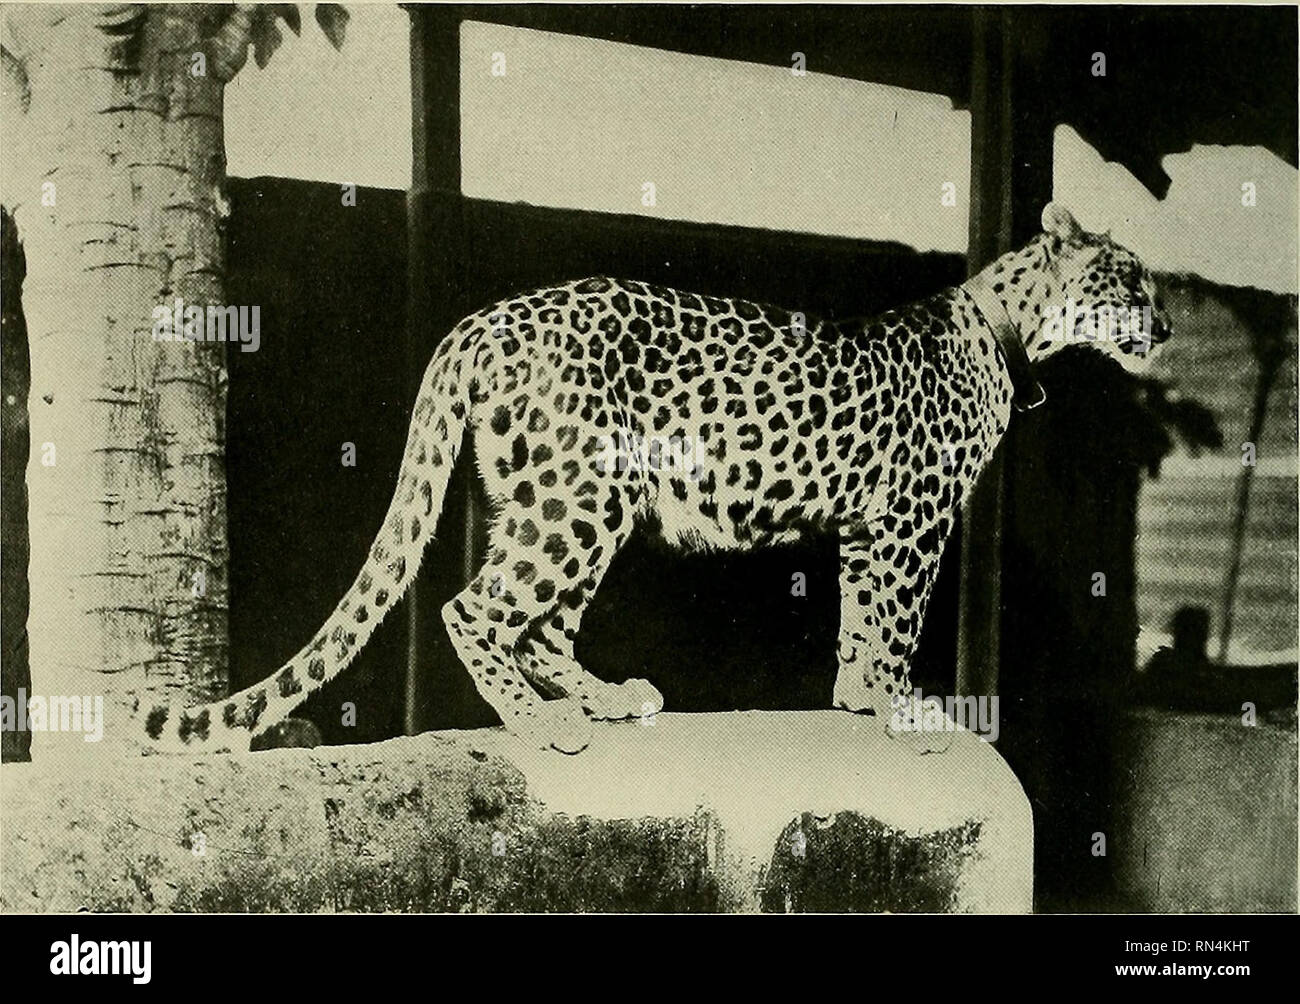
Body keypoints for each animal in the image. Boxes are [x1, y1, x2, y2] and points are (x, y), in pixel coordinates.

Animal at [137, 203, 1170, 754]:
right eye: (1130, 282)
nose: (1164, 326)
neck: (1016, 331)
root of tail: (482, 318)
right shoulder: (913, 518)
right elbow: (896, 621)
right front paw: (898, 701)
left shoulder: (867, 526)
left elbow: (857, 616)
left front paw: (855, 696)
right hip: (579, 499)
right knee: (477, 608)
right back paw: (541, 724)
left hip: (556, 494)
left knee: (541, 624)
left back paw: (600, 697)